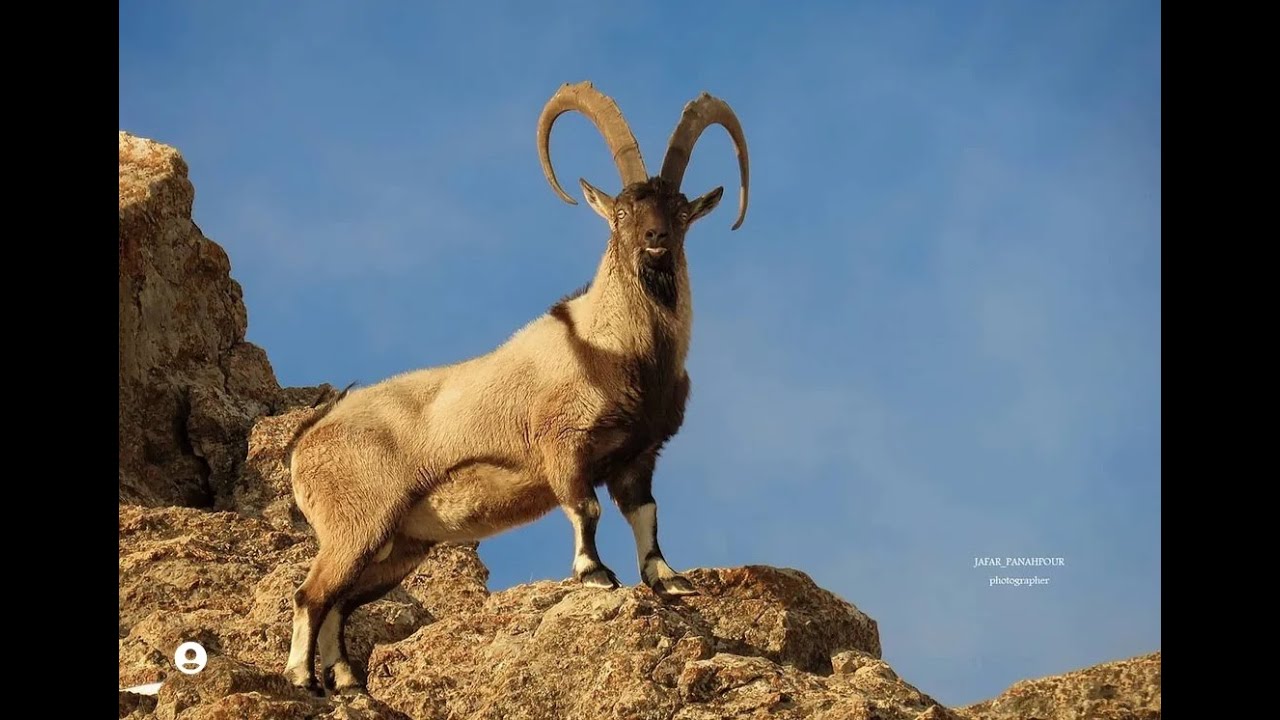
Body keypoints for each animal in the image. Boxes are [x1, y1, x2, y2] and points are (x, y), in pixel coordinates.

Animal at [282, 80, 750, 695]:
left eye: (678, 209)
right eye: (623, 210)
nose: (655, 240)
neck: (620, 349)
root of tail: (308, 440)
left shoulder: (639, 456)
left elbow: (645, 515)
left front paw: (667, 579)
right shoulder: (564, 444)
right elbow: (585, 508)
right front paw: (594, 574)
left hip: (397, 548)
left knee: (339, 603)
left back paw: (346, 680)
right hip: (354, 524)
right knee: (309, 595)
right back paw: (300, 678)